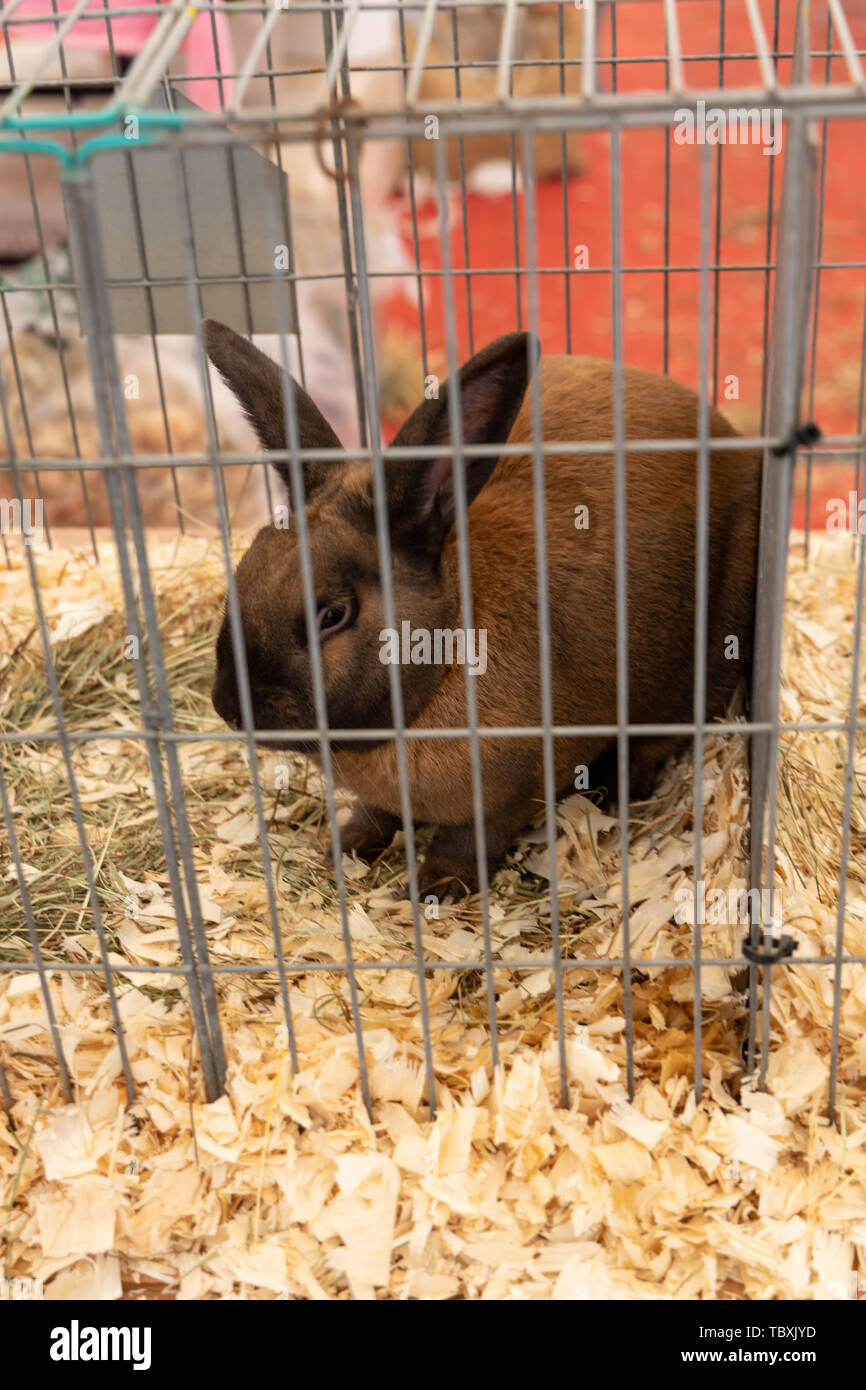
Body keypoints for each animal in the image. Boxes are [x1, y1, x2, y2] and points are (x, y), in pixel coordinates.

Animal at [205, 318, 760, 898]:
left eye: (333, 614)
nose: (230, 707)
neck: (446, 655)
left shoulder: (511, 793)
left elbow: (471, 837)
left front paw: (438, 886)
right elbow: (378, 814)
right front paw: (345, 848)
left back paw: (616, 792)